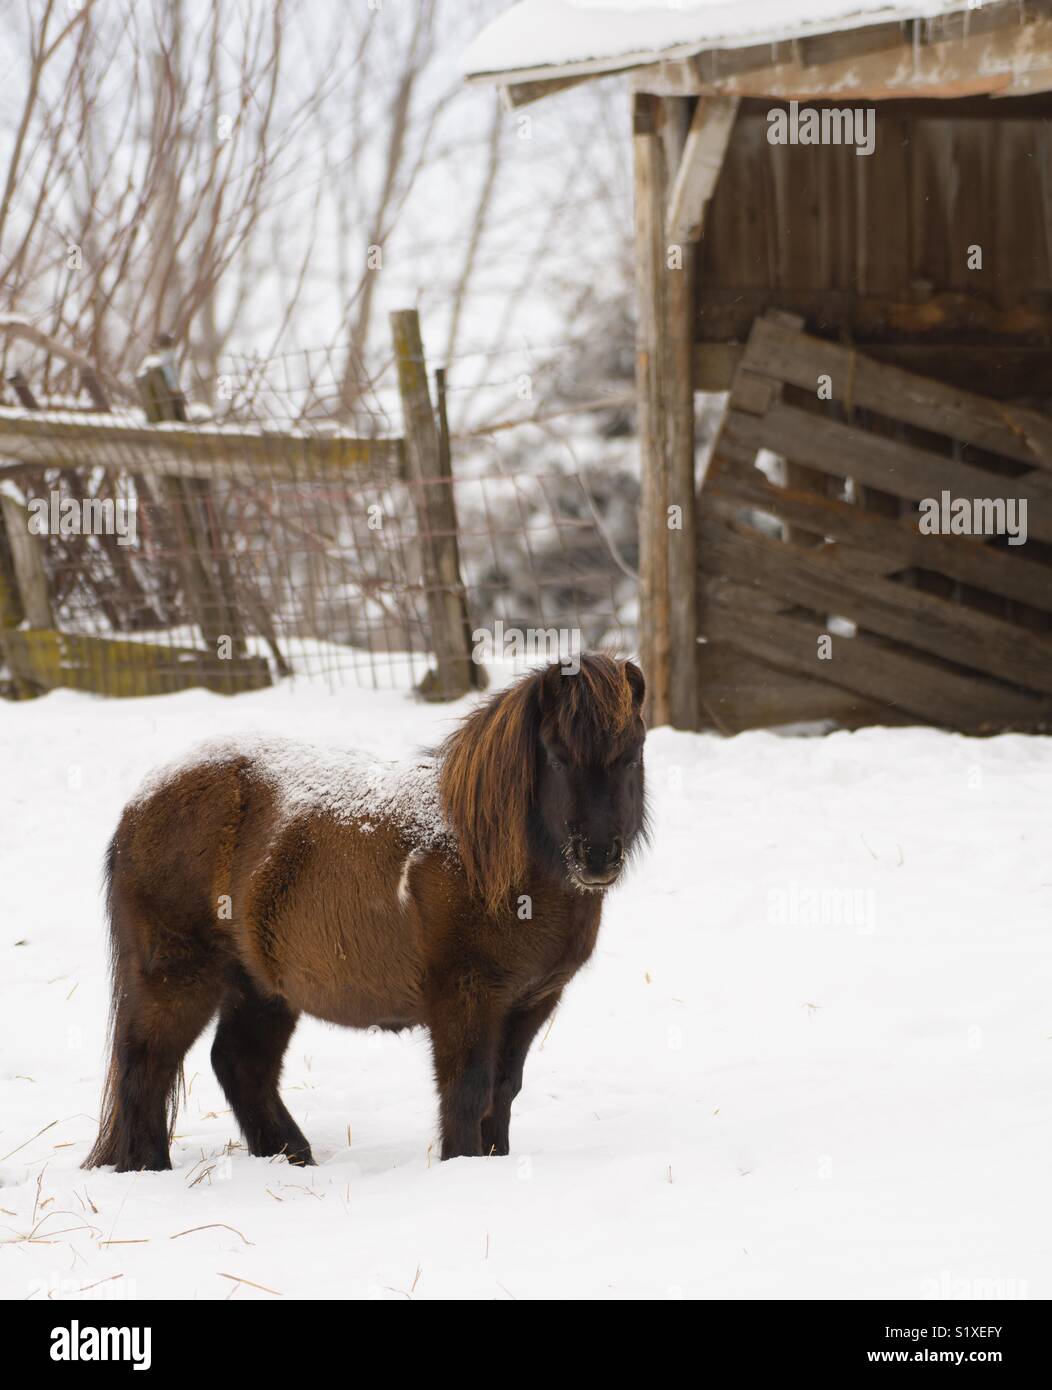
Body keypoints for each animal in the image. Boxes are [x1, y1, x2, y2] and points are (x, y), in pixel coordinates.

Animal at [83, 652, 648, 1172]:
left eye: (632, 754)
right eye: (556, 756)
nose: (598, 856)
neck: (485, 859)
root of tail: (142, 802)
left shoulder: (530, 1003)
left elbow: (502, 1092)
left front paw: (494, 1164)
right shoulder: (466, 998)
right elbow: (467, 1091)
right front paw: (463, 1167)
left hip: (260, 985)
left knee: (240, 1063)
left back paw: (292, 1157)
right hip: (177, 976)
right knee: (147, 1063)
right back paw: (148, 1167)